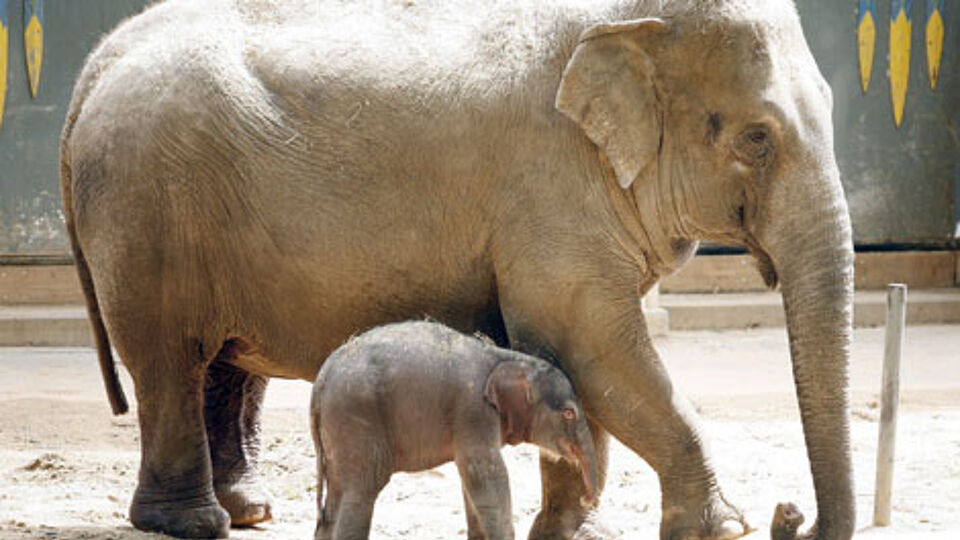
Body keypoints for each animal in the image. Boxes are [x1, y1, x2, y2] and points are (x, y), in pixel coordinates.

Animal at [310, 321, 600, 540]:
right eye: (568, 413)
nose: (586, 500)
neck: (505, 357)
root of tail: (322, 378)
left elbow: (470, 480)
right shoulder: (473, 411)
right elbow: (484, 474)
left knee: (334, 502)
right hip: (357, 418)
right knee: (362, 491)